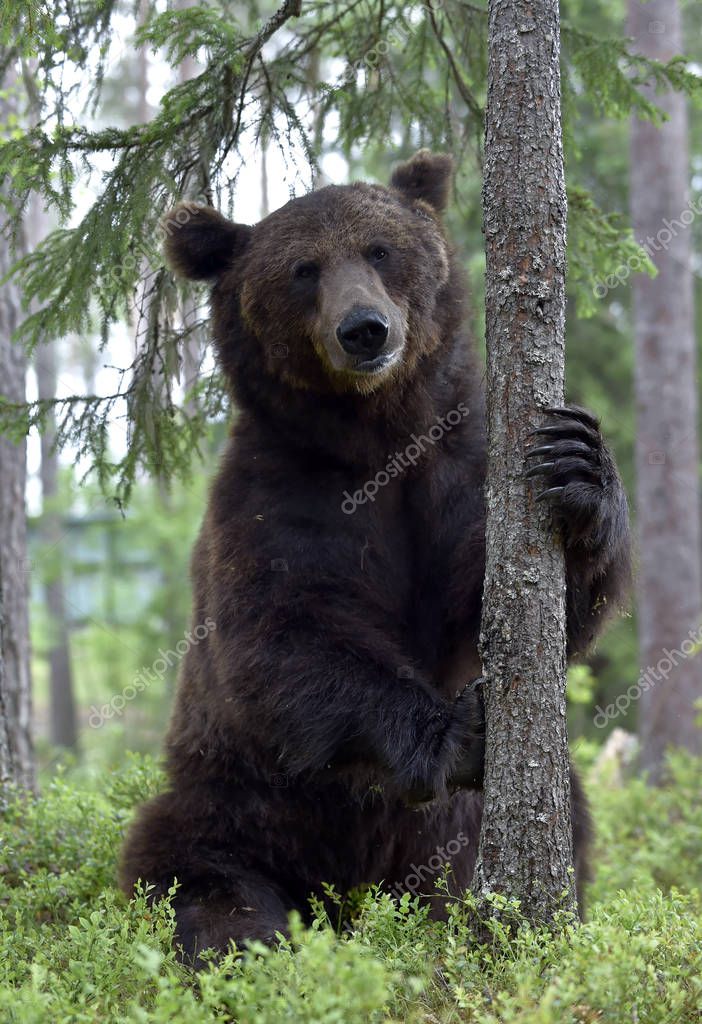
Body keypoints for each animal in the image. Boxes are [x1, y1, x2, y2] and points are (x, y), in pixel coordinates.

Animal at [119, 150, 630, 963]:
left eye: (380, 250)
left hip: (451, 832)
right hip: (237, 799)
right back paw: (246, 943)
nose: (364, 329)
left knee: (533, 842)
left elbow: (516, 603)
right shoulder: (280, 496)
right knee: (193, 875)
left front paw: (578, 466)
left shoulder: (460, 471)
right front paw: (460, 730)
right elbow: (283, 636)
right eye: (303, 269)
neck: (378, 435)